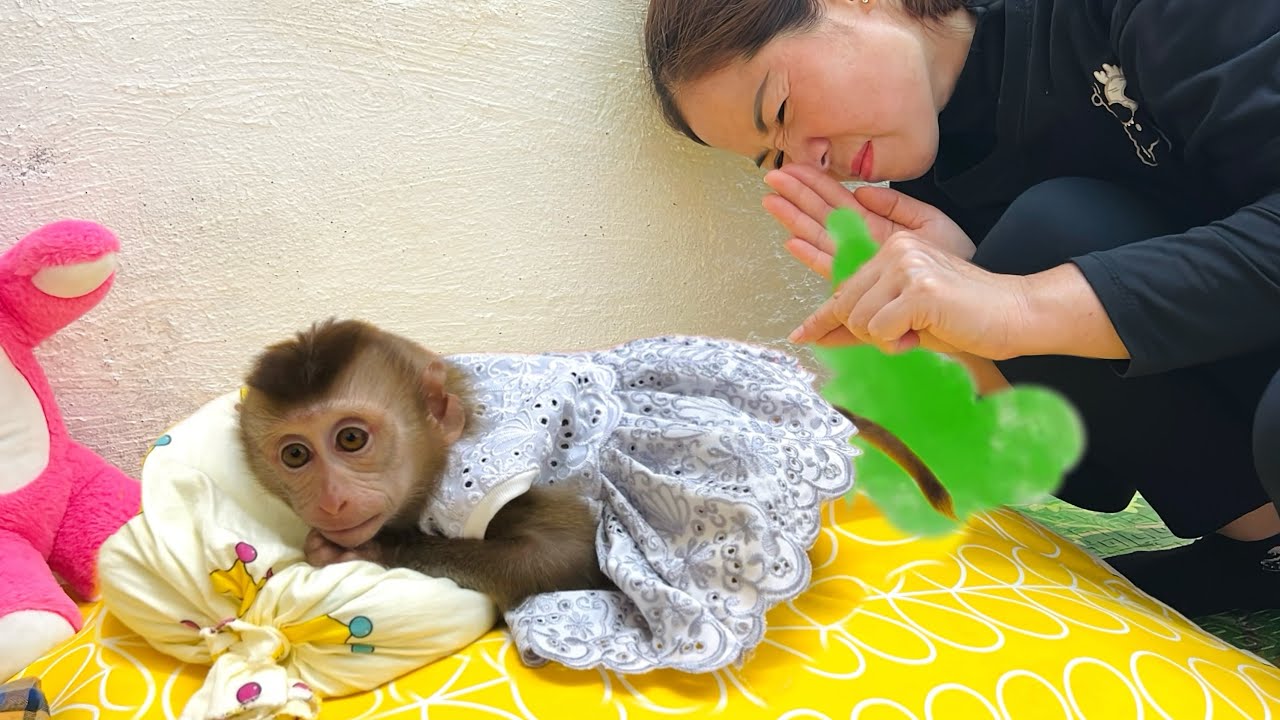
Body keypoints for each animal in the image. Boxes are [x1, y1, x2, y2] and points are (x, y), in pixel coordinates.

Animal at [237, 319, 955, 614]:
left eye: (352, 439)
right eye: (296, 455)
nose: (330, 496)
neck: (444, 451)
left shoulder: (503, 478)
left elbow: (564, 556)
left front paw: (375, 549)